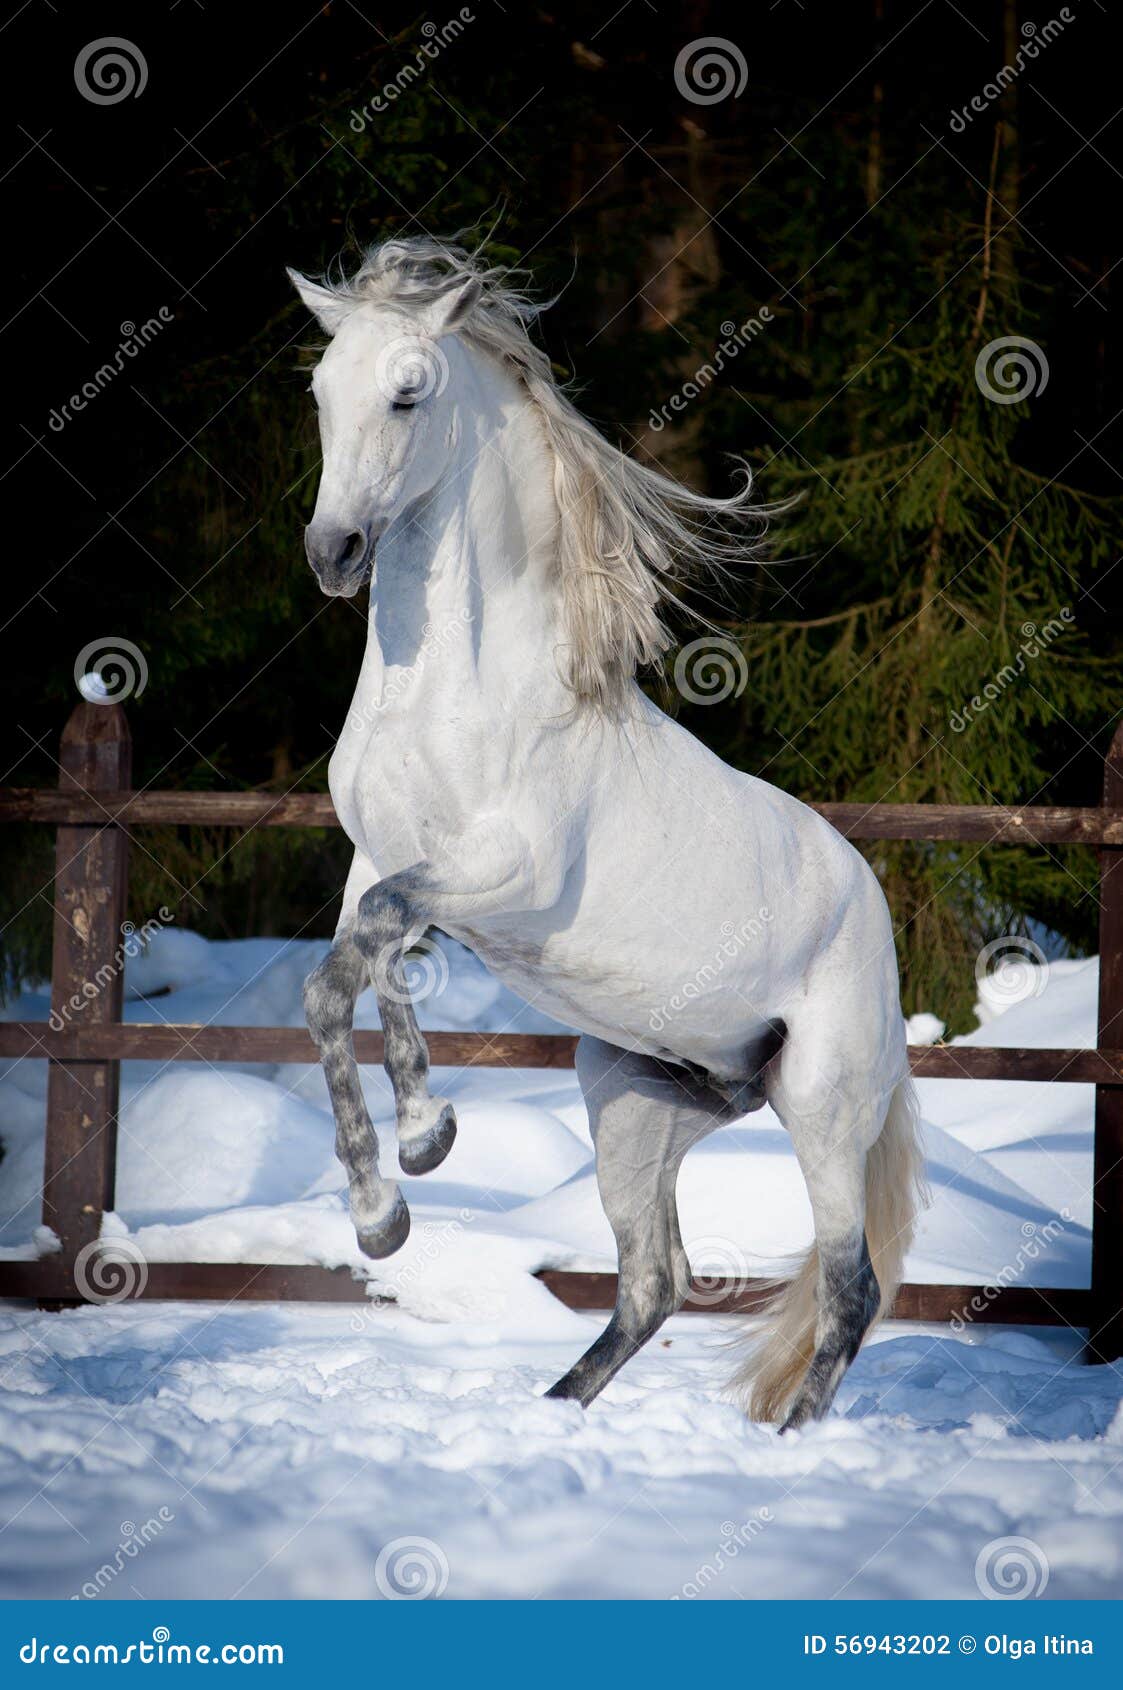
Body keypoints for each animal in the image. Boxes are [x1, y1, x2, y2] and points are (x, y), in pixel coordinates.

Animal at [288, 236, 926, 1431]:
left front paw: (400, 1189)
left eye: (408, 392)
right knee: (651, 1280)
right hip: (632, 1096)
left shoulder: (504, 876)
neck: (446, 691)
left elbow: (360, 964)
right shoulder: (377, 867)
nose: (334, 551)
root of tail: (873, 913)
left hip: (820, 1105)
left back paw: (785, 1442)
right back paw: (553, 1409)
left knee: (850, 1287)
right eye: (318, 391)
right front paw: (410, 1167)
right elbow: (354, 972)